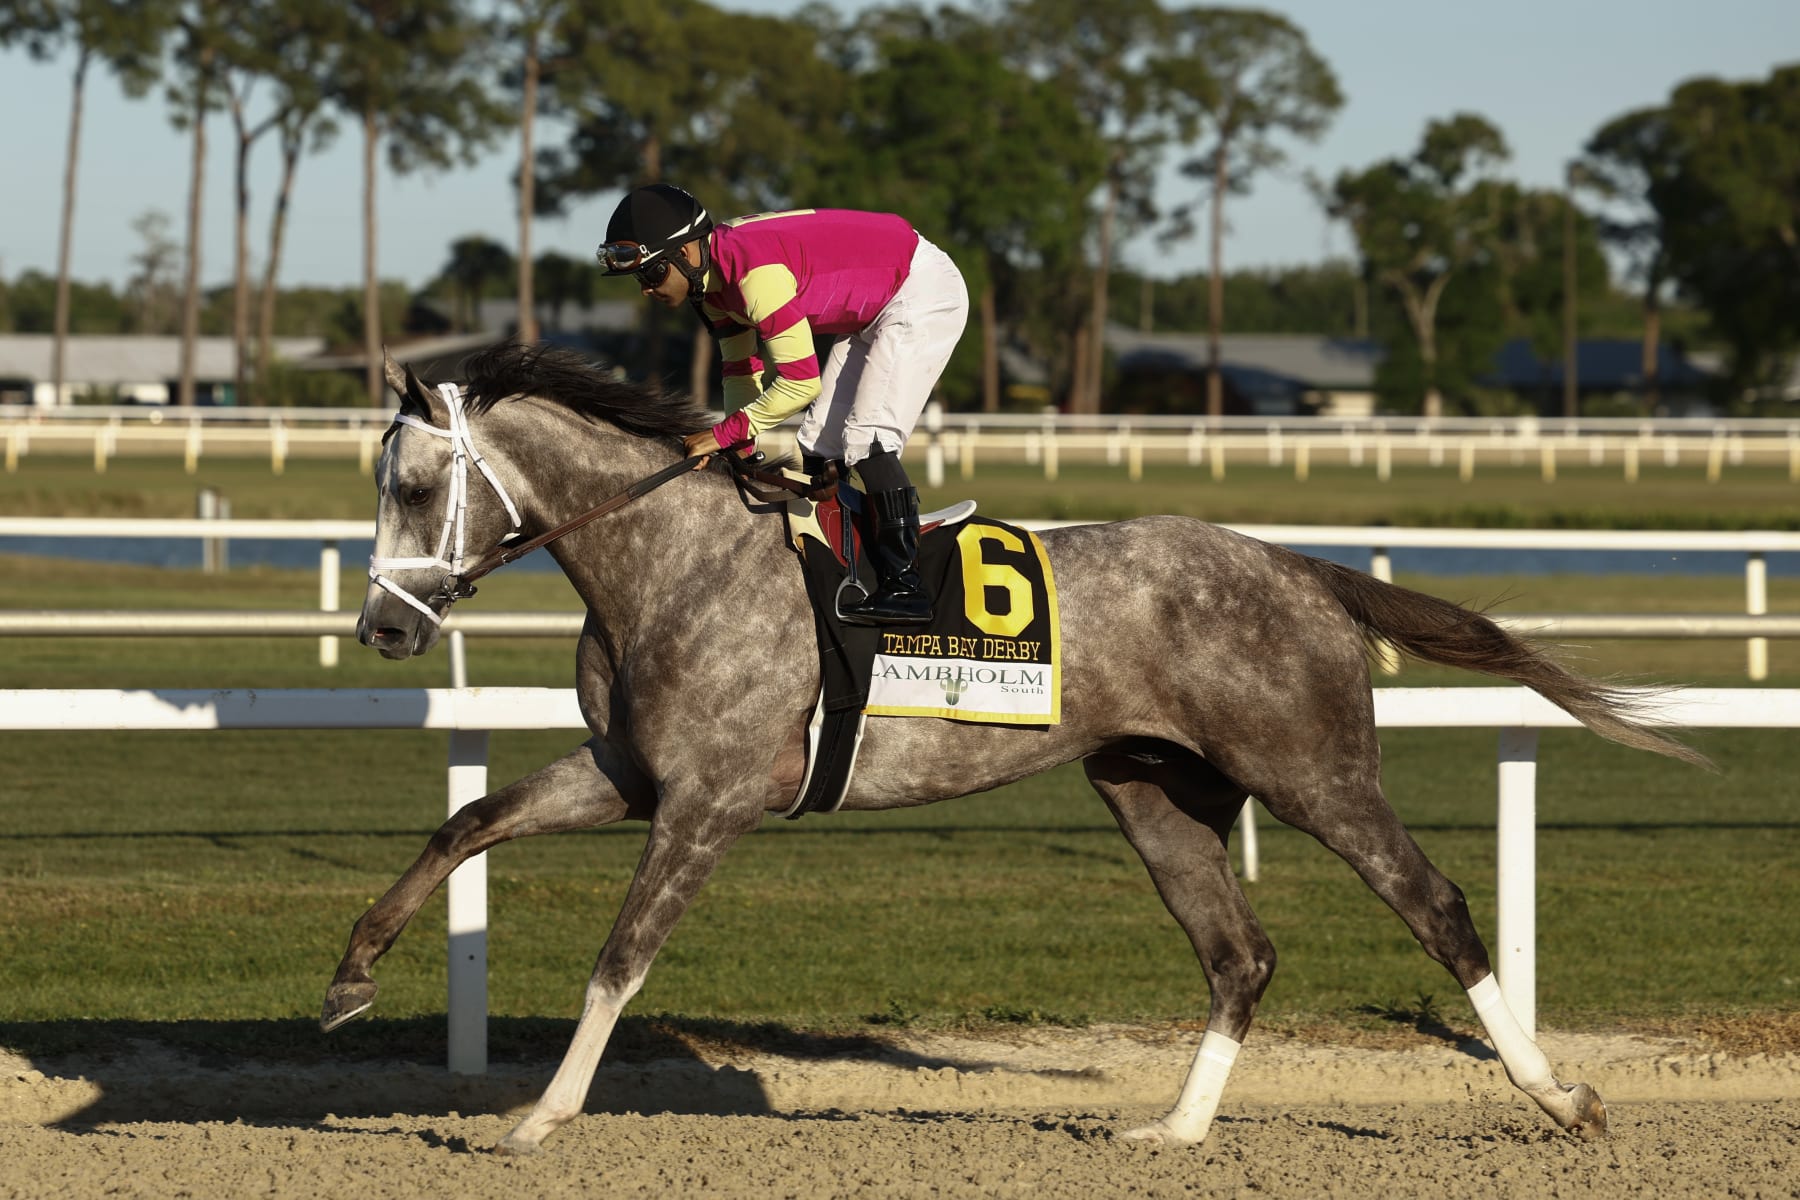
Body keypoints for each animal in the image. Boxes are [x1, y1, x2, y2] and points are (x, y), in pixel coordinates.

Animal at [327, 341, 1702, 1157]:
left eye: (415, 488)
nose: (384, 627)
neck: (672, 561)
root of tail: (1299, 569)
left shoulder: (707, 802)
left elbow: (619, 960)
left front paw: (542, 1115)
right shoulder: (628, 775)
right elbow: (468, 822)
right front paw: (351, 977)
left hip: (1314, 773)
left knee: (1435, 904)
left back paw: (1560, 1095)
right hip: (1151, 789)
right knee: (1240, 954)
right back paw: (1174, 1131)